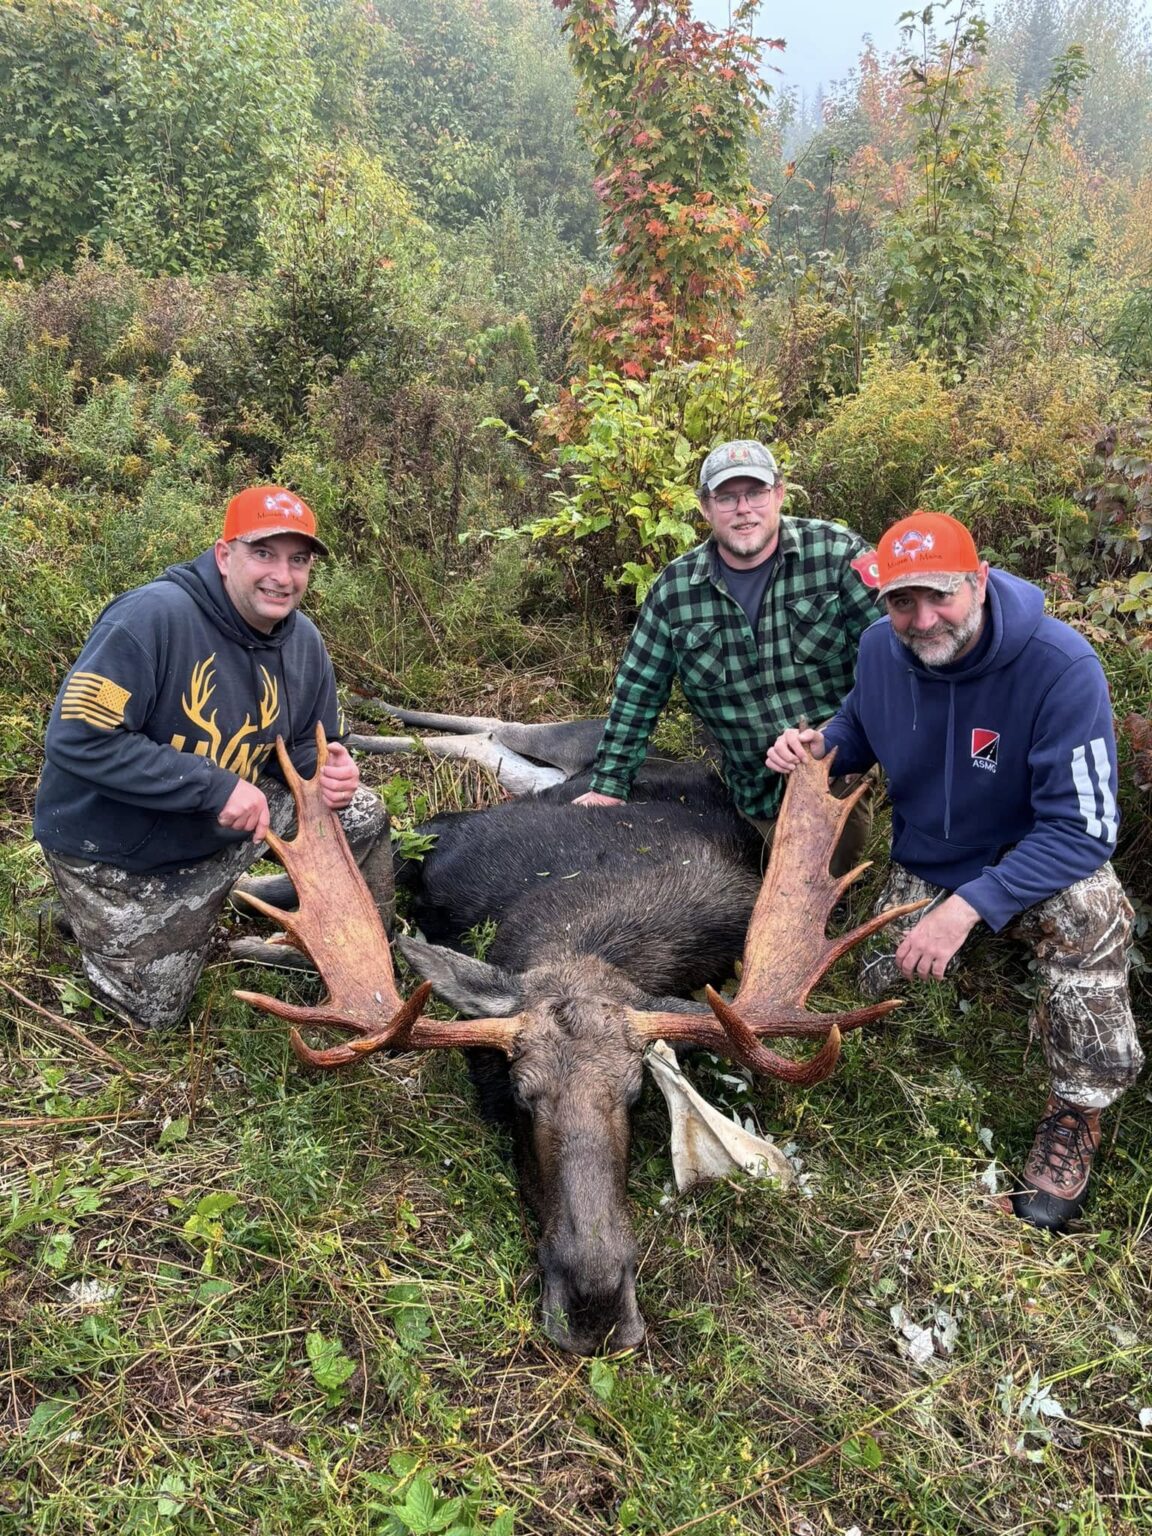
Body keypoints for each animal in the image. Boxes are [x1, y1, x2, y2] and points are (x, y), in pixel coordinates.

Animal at [232, 725, 923, 1355]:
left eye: (636, 1096)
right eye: (520, 1096)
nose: (597, 1305)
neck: (576, 930)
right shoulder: (442, 839)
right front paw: (253, 910)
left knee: (499, 745)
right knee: (494, 737)